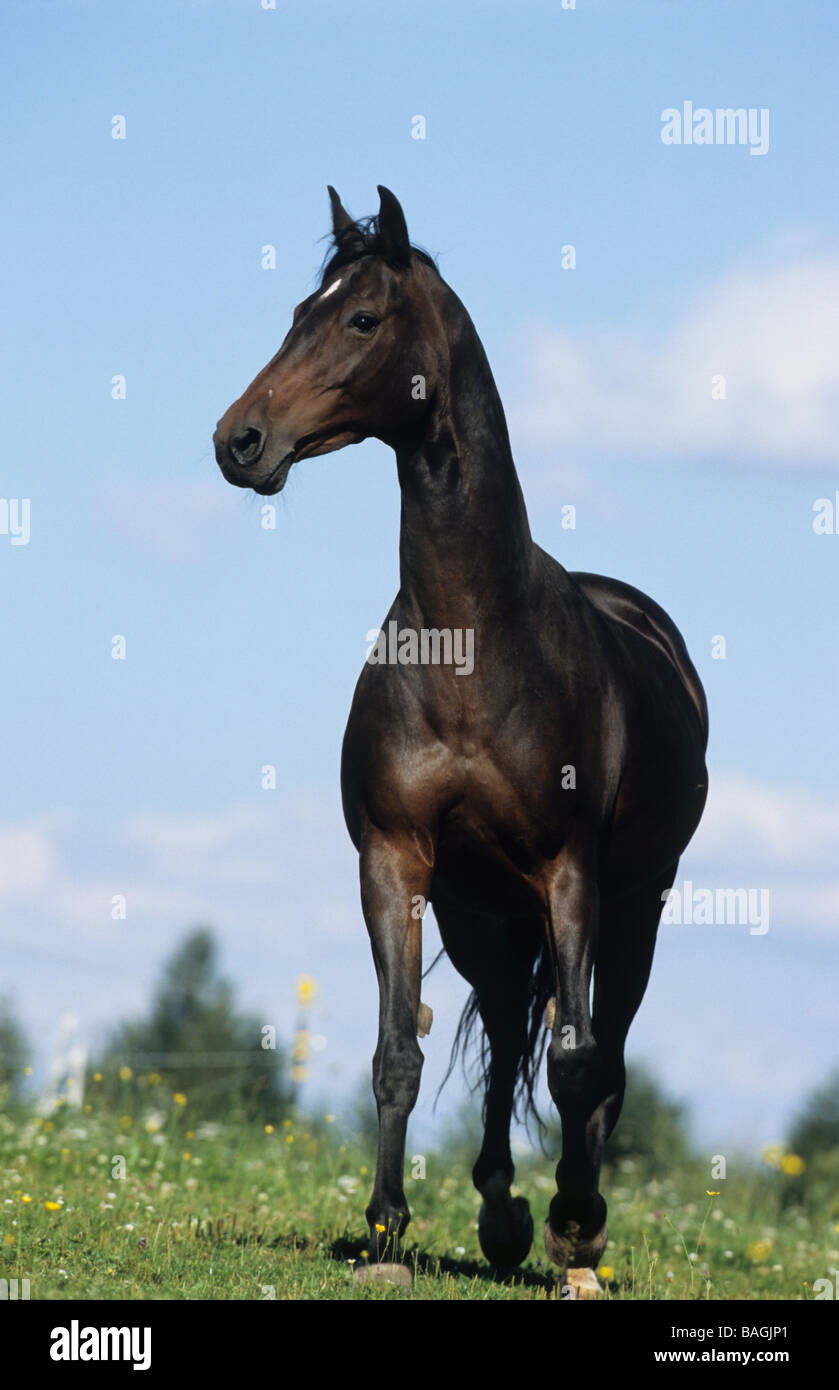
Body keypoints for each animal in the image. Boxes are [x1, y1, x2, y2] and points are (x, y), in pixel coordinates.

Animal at [213, 186, 709, 1295]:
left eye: (360, 319)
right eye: (296, 313)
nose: (238, 440)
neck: (474, 644)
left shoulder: (570, 874)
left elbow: (577, 1060)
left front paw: (577, 1232)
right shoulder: (394, 861)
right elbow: (398, 1050)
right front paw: (385, 1235)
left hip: (634, 903)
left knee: (600, 1053)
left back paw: (573, 1227)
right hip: (482, 913)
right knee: (507, 1038)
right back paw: (499, 1213)